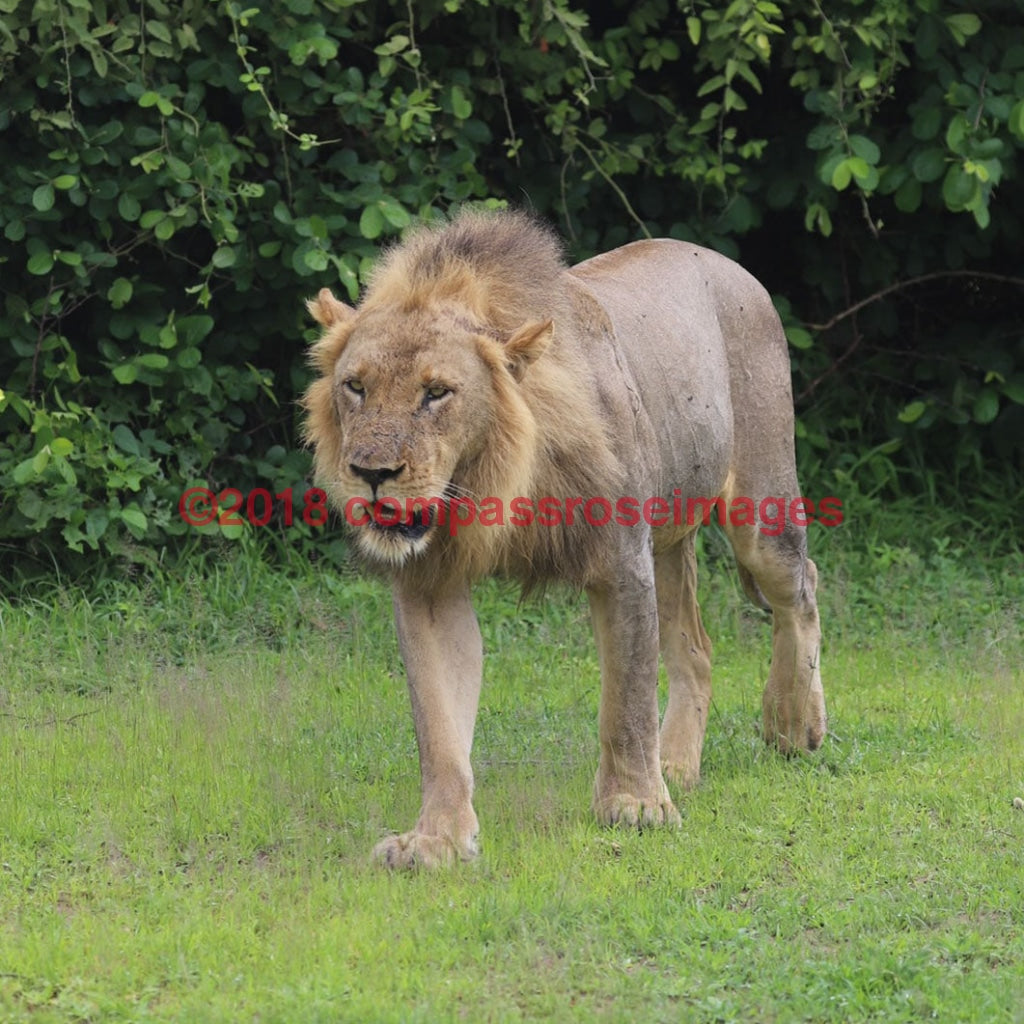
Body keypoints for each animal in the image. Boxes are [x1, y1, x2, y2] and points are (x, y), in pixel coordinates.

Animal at [303, 209, 826, 869]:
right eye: (356, 386)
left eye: (436, 392)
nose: (371, 472)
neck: (496, 475)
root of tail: (731, 265)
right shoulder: (429, 584)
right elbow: (439, 726)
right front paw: (435, 840)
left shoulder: (622, 562)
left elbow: (627, 698)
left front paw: (635, 806)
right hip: (669, 537)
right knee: (696, 647)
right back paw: (677, 764)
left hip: (760, 508)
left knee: (801, 587)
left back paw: (792, 723)